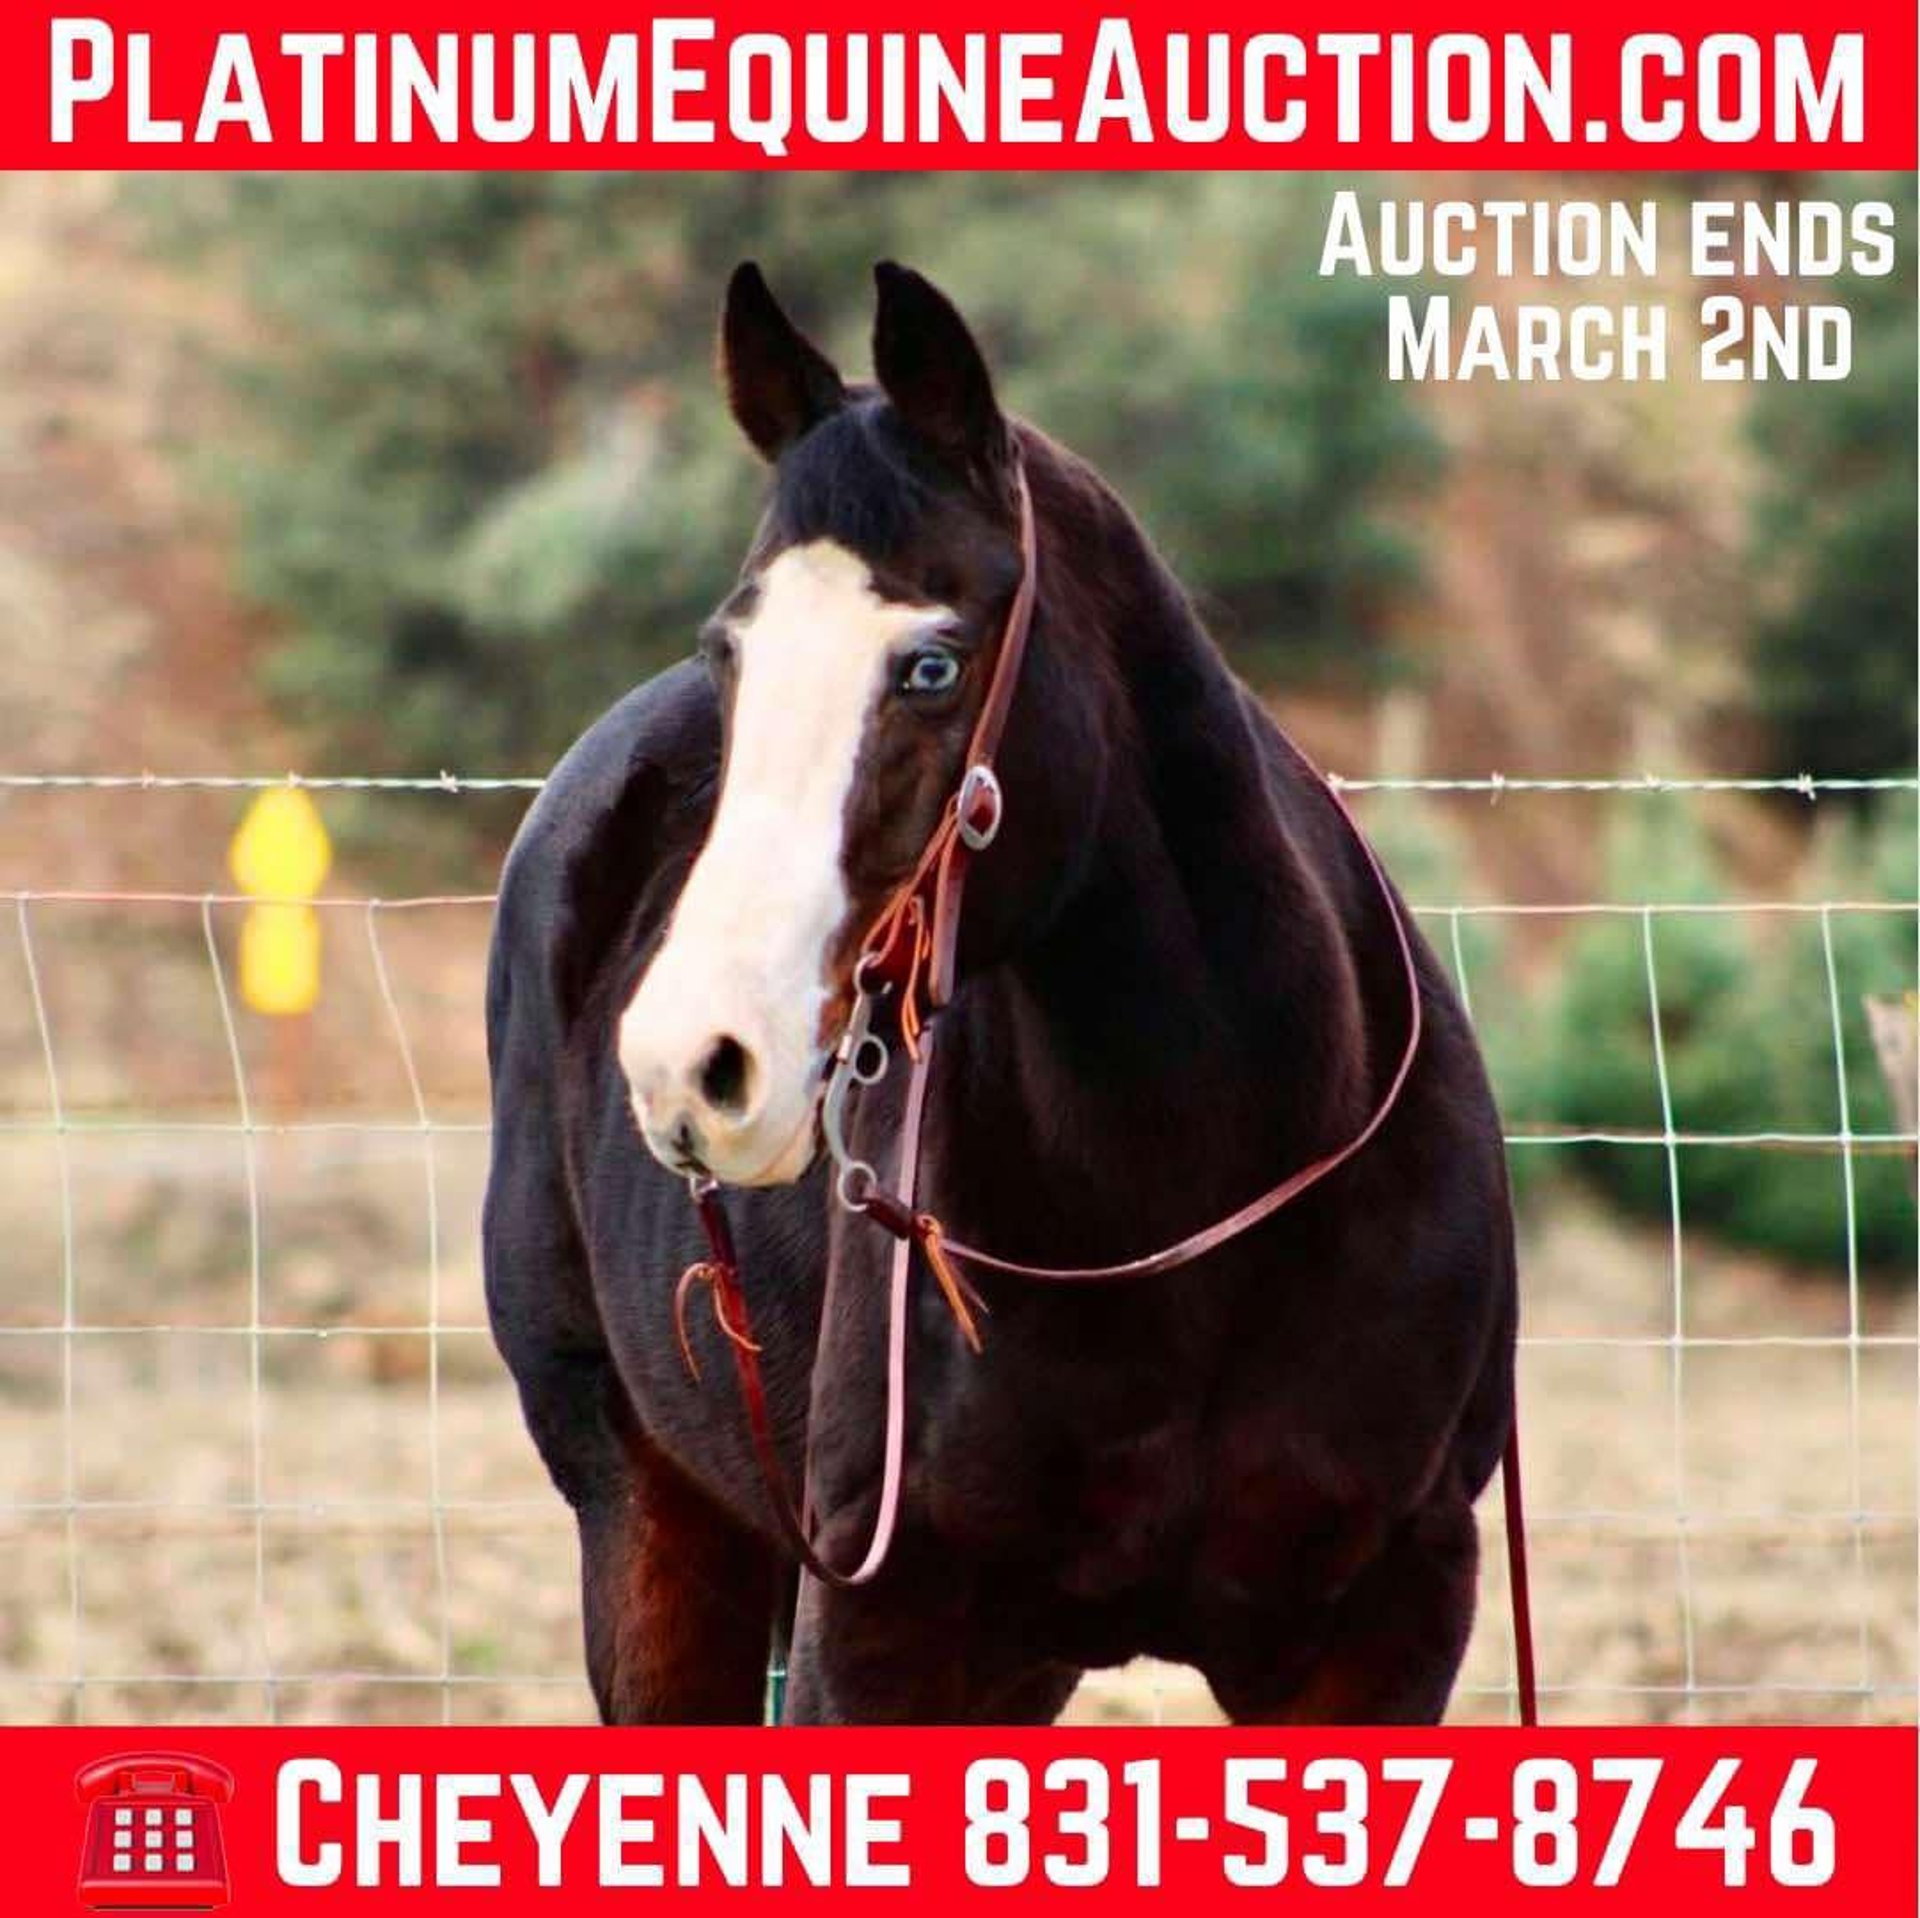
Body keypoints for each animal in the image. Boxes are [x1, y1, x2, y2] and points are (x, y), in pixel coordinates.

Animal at [483, 260, 1518, 1725]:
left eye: (931, 663)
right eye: (732, 655)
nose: (693, 1061)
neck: (1197, 1193)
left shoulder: (1387, 1621)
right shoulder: (881, 1627)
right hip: (647, 1523)